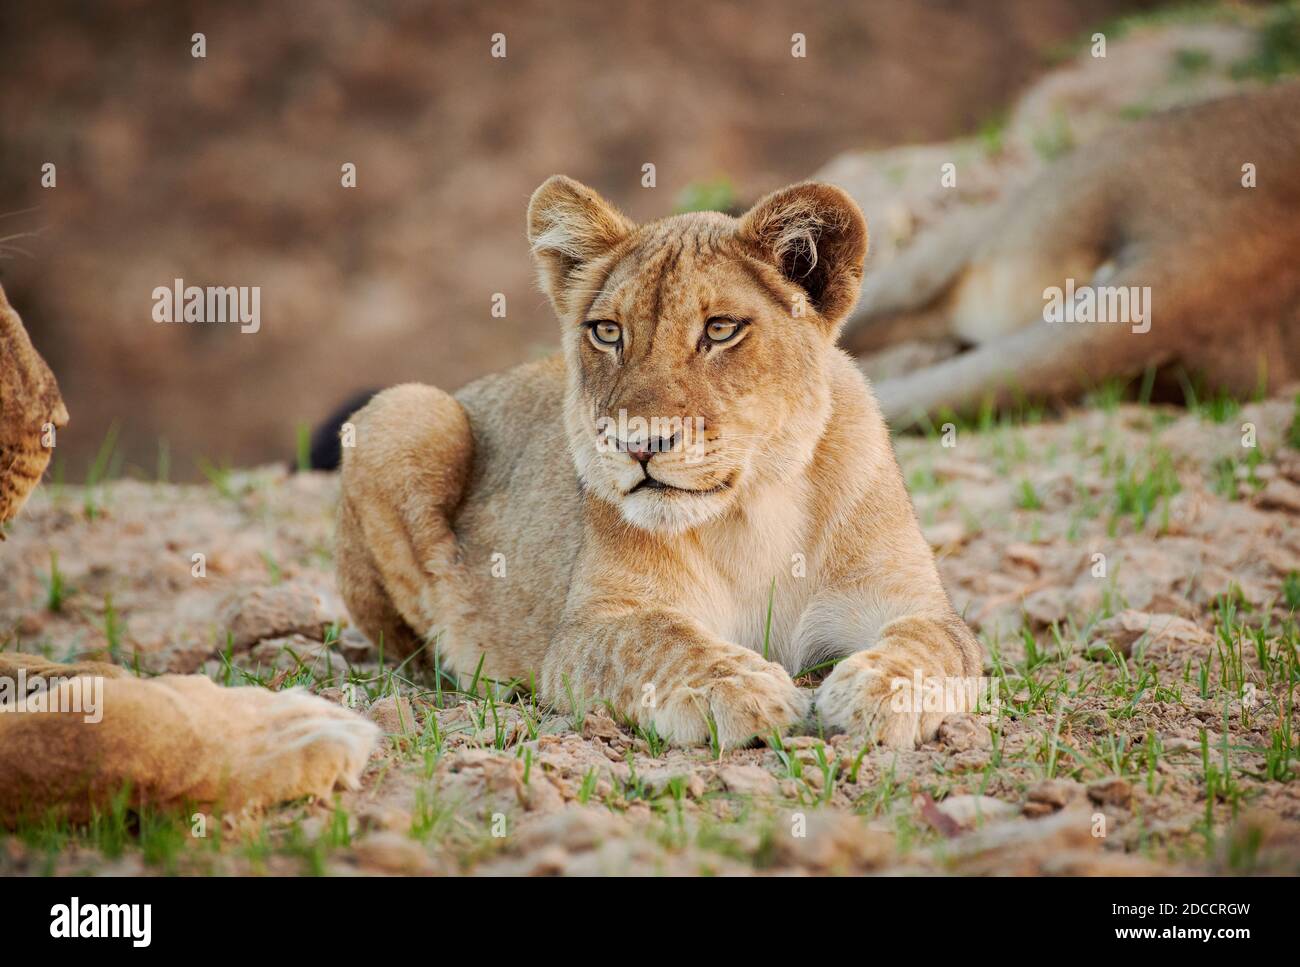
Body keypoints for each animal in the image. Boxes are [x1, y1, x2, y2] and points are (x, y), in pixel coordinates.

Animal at [336, 176, 983, 751]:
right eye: (607, 332)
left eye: (720, 330)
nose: (638, 443)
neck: (752, 513)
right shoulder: (590, 627)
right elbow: (660, 640)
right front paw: (741, 689)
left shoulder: (906, 598)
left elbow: (934, 642)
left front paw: (877, 693)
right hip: (405, 410)